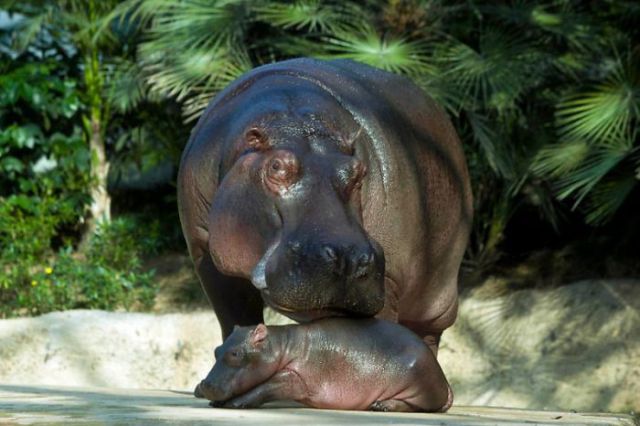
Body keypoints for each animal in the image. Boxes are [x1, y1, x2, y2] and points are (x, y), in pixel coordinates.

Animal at [178, 58, 473, 353]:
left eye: (359, 171)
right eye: (276, 166)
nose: (348, 258)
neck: (295, 120)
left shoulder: (389, 283)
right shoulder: (205, 256)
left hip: (436, 303)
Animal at [195, 318, 453, 412]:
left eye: (236, 353)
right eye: (216, 350)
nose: (205, 385)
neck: (281, 346)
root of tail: (444, 380)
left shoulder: (293, 378)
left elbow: (263, 388)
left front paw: (235, 403)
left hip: (416, 381)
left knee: (418, 407)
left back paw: (381, 406)